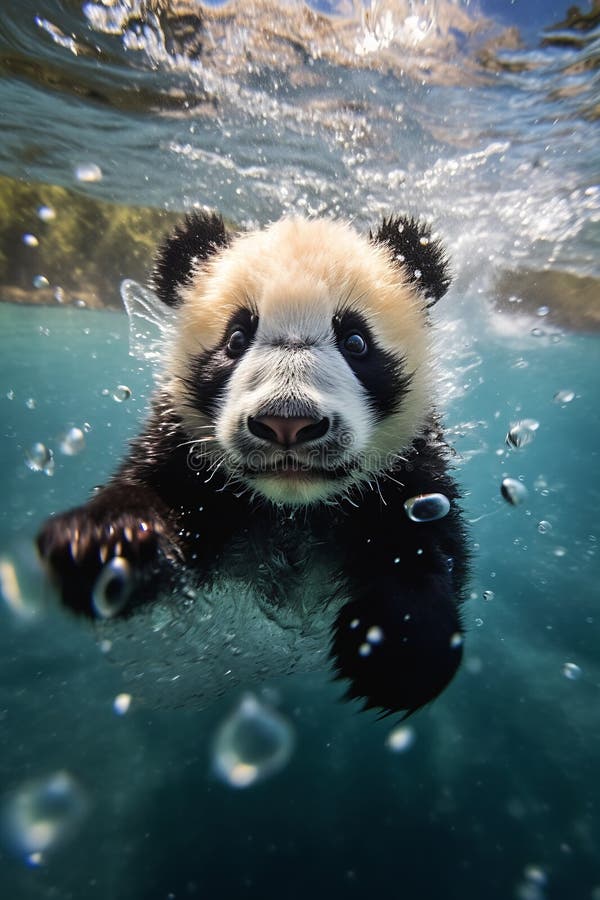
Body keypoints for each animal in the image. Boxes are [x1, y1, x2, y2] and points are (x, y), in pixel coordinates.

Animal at [37, 212, 468, 716]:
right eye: (236, 339)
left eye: (356, 341)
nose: (288, 423)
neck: (291, 506)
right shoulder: (182, 448)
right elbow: (149, 489)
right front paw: (102, 546)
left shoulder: (411, 462)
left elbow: (425, 540)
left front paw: (396, 648)